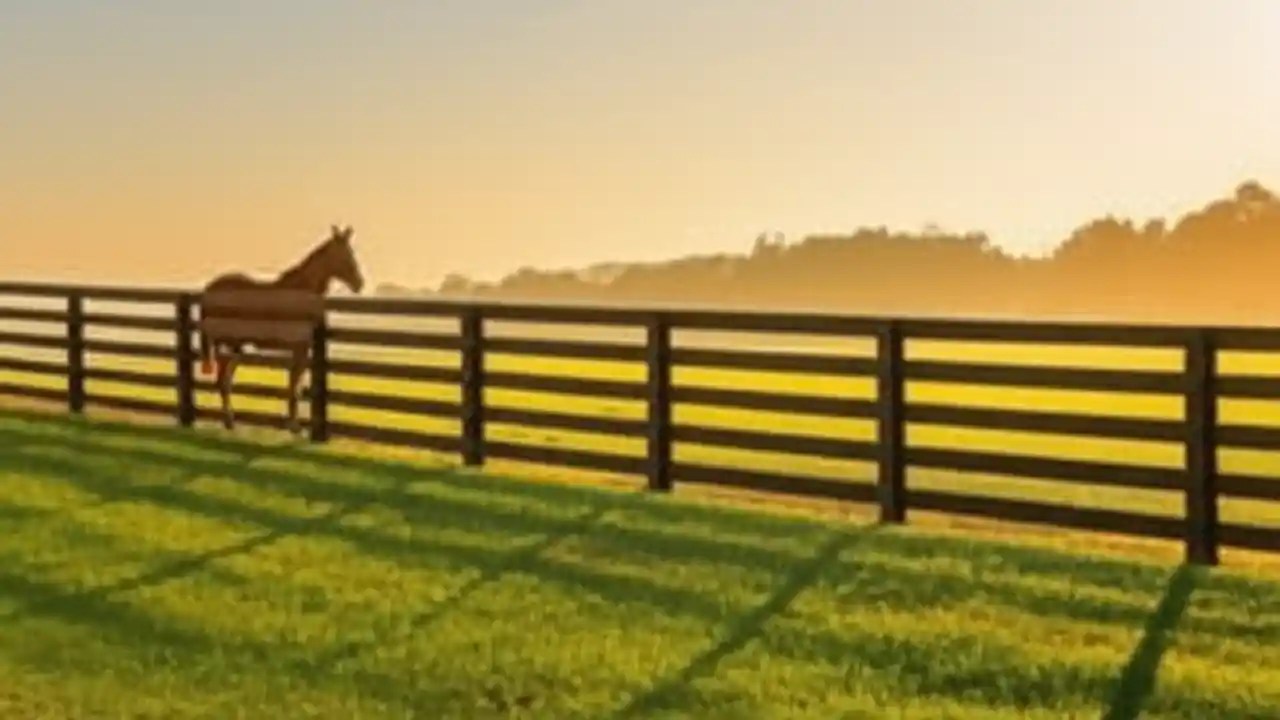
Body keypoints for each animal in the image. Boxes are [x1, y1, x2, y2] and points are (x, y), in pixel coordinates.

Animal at [197, 224, 365, 433]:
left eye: (351, 252)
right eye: (344, 255)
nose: (359, 284)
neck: (301, 291)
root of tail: (209, 290)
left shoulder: (300, 349)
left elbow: (295, 386)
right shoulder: (300, 348)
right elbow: (294, 387)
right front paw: (294, 427)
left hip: (234, 347)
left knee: (224, 381)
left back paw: (229, 422)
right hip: (226, 346)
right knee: (223, 381)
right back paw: (229, 421)